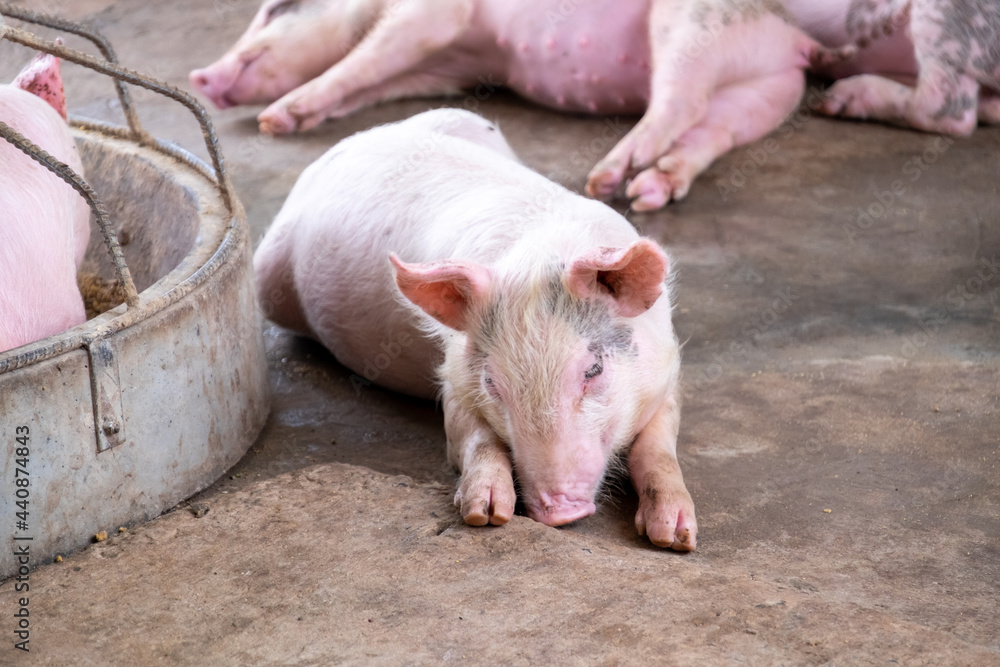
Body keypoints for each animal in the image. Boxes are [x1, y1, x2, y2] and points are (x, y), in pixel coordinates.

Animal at [253, 108, 698, 550]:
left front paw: (675, 537)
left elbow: (659, 448)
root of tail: (357, 139)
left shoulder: (667, 372)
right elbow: (471, 437)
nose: (558, 512)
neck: (540, 253)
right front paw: (485, 513)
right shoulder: (452, 374)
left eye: (594, 370)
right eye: (491, 382)